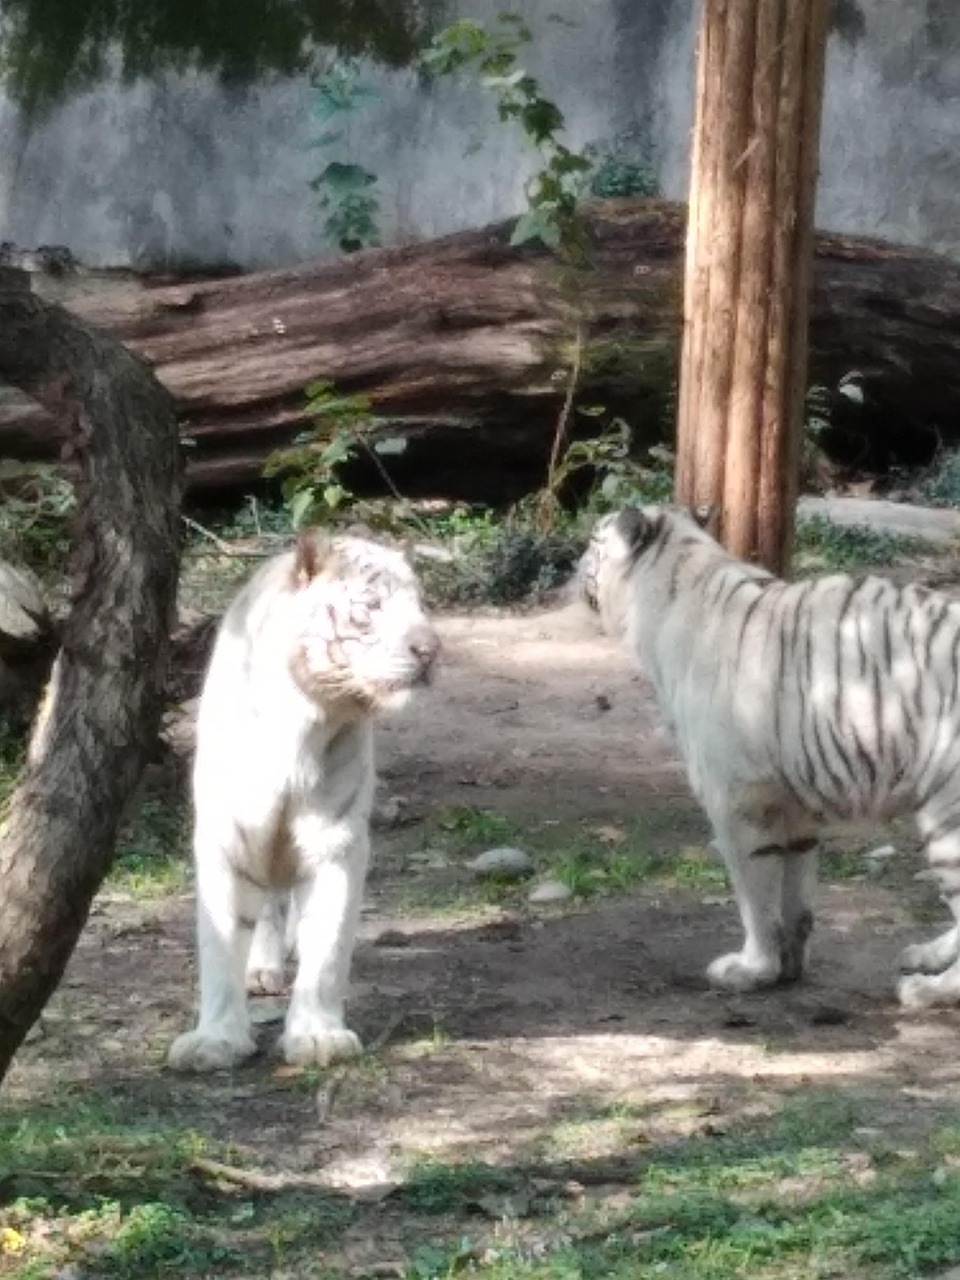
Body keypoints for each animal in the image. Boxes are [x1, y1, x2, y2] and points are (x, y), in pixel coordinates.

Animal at [167, 530, 440, 1073]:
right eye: (371, 607)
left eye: (420, 605)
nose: (429, 649)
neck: (311, 717)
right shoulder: (228, 839)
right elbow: (220, 941)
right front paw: (215, 1041)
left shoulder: (336, 840)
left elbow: (327, 945)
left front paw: (317, 1037)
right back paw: (262, 968)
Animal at [579, 503, 960, 1009]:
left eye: (593, 542)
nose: (572, 564)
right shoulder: (795, 805)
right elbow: (796, 897)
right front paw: (790, 966)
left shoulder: (737, 802)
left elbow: (754, 897)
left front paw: (750, 969)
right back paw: (925, 955)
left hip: (949, 814)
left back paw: (927, 989)